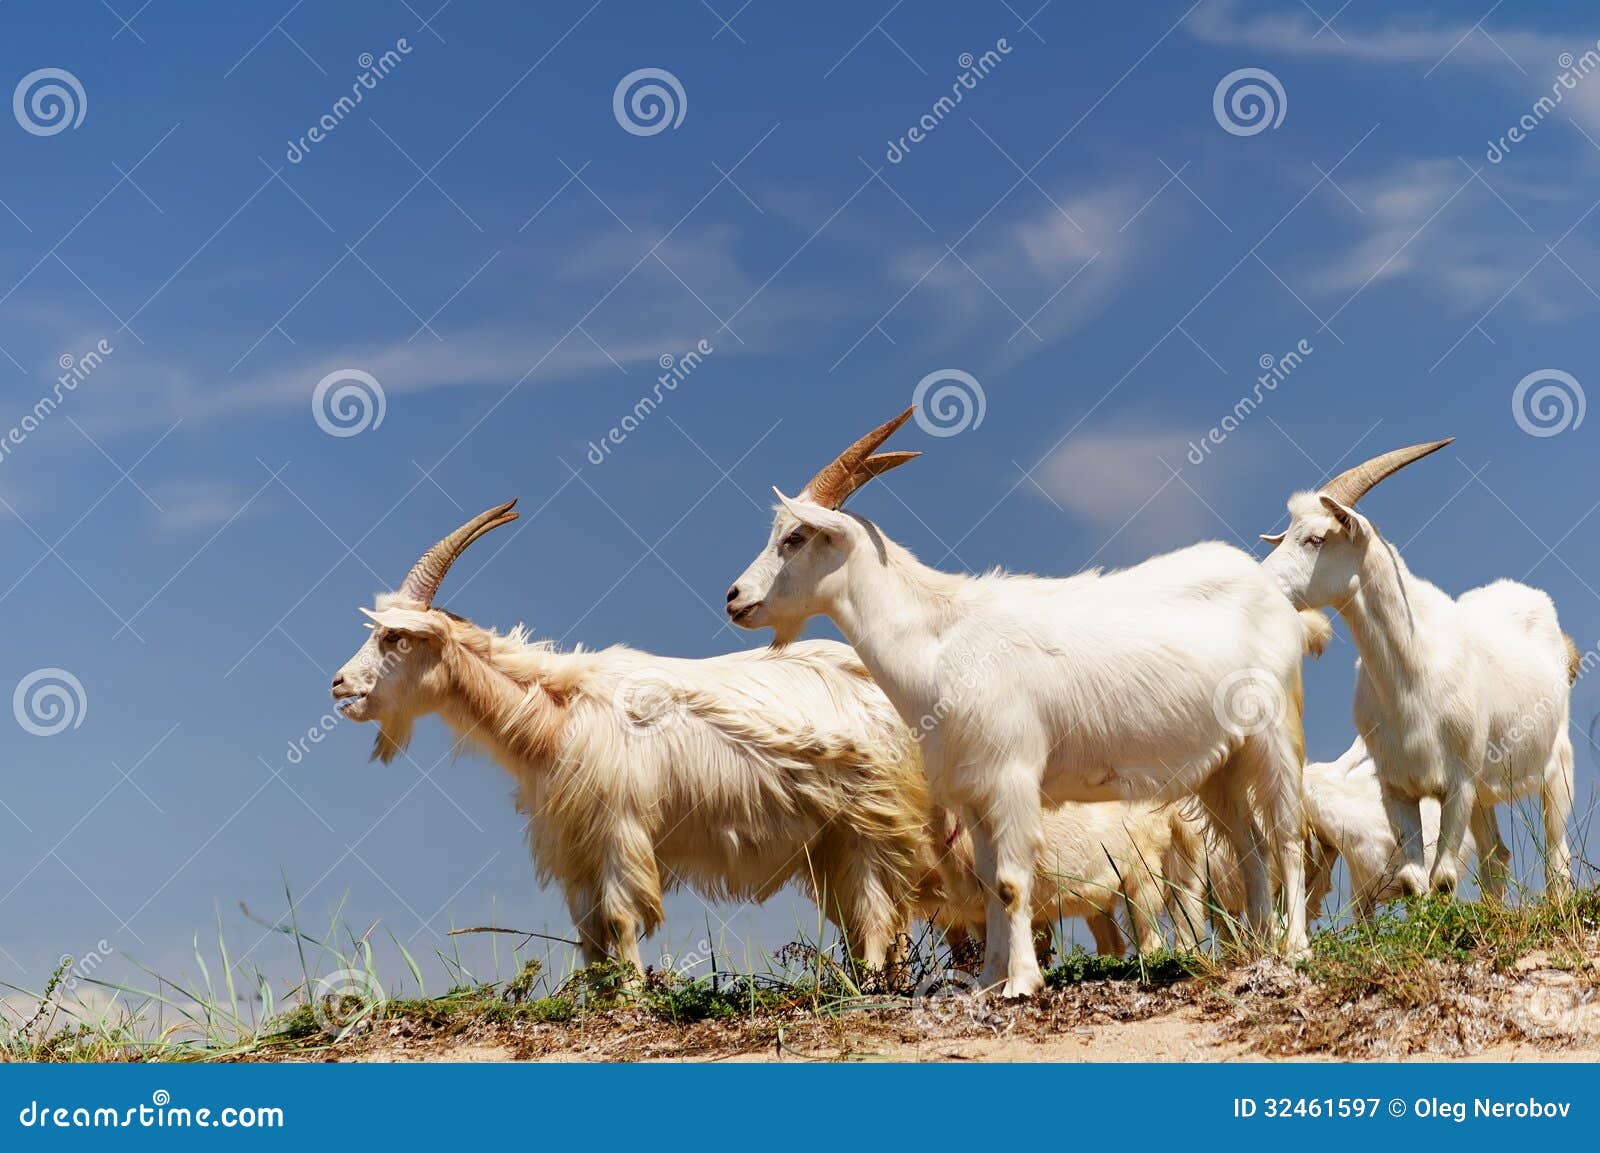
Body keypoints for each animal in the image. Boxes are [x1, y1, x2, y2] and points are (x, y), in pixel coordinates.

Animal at [331, 501, 935, 976]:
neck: (556, 714)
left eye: (395, 637)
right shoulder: (575, 846)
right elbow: (589, 934)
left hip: (869, 824)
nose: (338, 684)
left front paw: (633, 998)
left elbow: (619, 921)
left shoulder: (619, 829)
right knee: (879, 917)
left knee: (878, 915)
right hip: (836, 839)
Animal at [726, 409, 1313, 996]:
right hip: (1220, 764)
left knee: (1285, 835)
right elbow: (988, 884)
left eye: (796, 536)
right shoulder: (973, 787)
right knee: (1250, 844)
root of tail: (1261, 584)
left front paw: (1022, 983)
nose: (734, 598)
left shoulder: (1011, 774)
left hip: (1274, 731)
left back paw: (1294, 947)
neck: (941, 635)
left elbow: (1010, 882)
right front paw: (988, 980)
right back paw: (1260, 946)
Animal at [1261, 442, 1574, 899]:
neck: (1412, 673)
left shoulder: (1459, 782)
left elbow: (1442, 878)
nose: (1256, 578)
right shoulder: (1396, 787)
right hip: (1484, 793)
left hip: (1555, 764)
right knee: (1496, 857)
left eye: (1316, 538)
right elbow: (1413, 880)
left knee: (1556, 855)